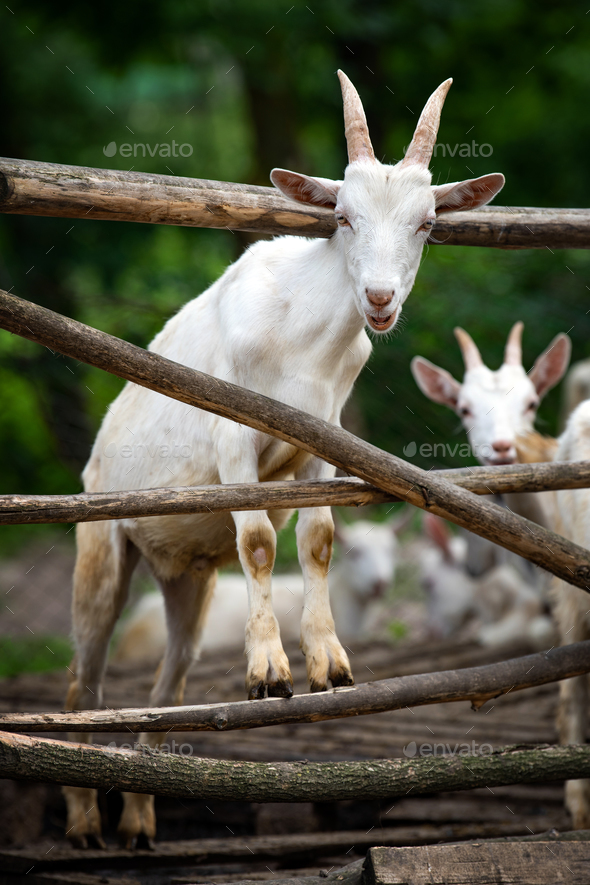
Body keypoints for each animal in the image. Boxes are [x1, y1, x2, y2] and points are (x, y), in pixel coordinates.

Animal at [63, 71, 505, 849]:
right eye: (343, 216)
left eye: (427, 223)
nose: (380, 299)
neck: (302, 334)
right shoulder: (233, 436)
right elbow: (262, 541)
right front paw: (270, 674)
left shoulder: (324, 435)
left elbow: (319, 537)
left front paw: (329, 664)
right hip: (102, 538)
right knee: (83, 680)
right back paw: (87, 823)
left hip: (188, 581)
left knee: (169, 681)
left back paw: (141, 821)